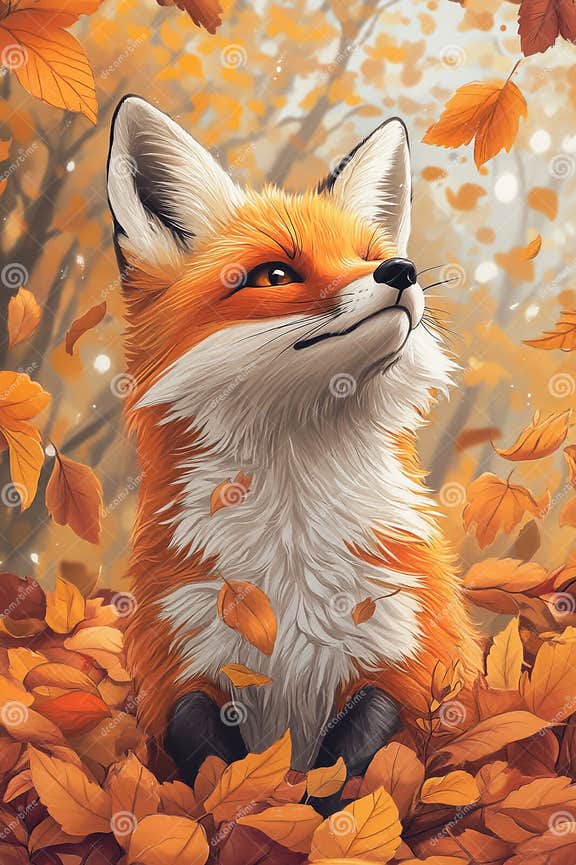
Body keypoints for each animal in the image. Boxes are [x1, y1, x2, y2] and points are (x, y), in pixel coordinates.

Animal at [106, 95, 482, 788]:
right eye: (275, 273)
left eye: (368, 253)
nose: (403, 269)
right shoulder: (181, 663)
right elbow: (210, 765)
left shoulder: (411, 658)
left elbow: (350, 764)